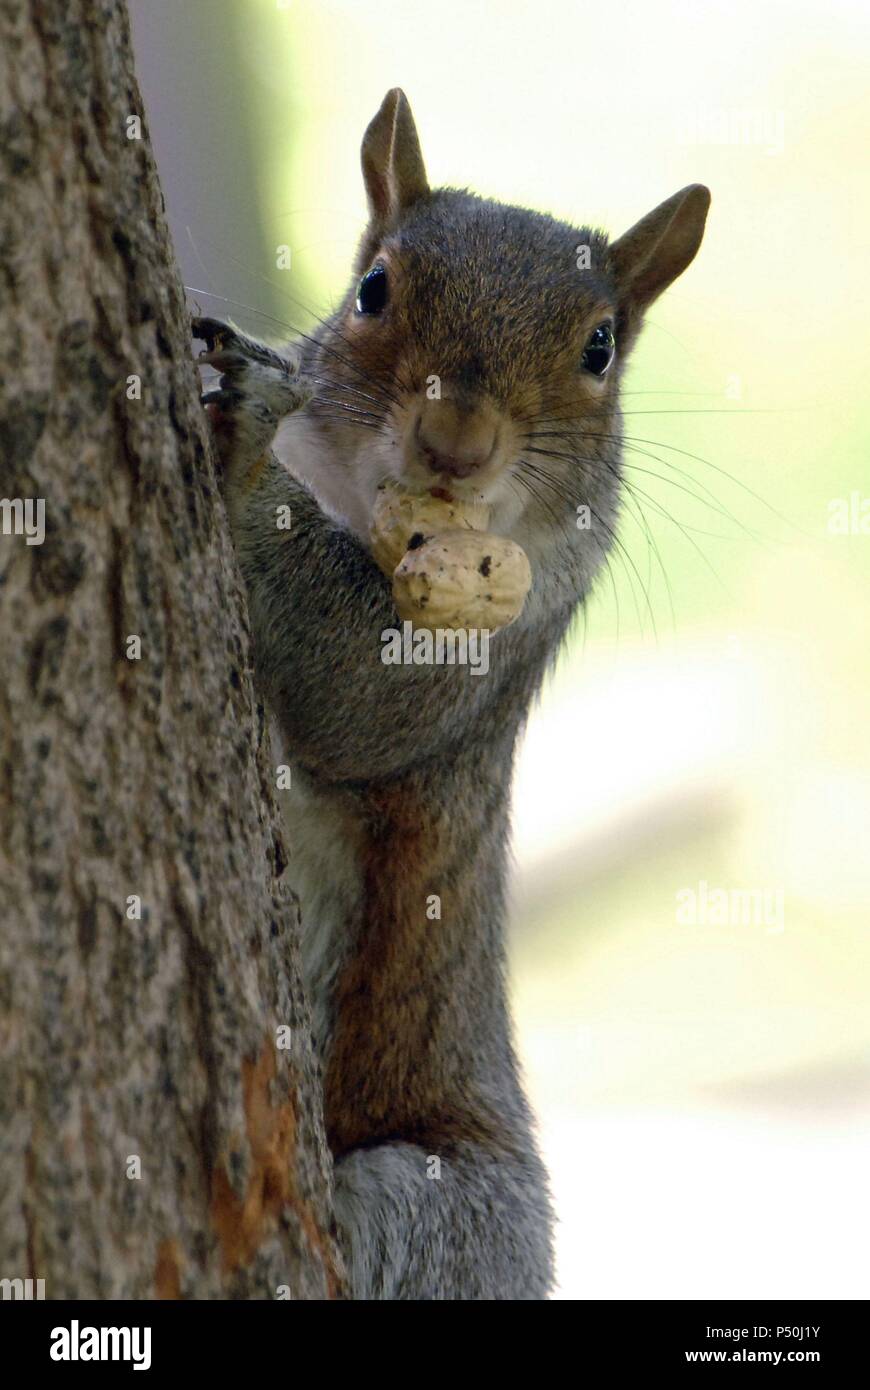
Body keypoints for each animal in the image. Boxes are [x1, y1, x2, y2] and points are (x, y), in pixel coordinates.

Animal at [193, 88, 710, 1300]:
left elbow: (353, 697)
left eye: (601, 346)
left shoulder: (484, 655)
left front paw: (253, 421)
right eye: (374, 288)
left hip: (440, 1211)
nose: (458, 439)